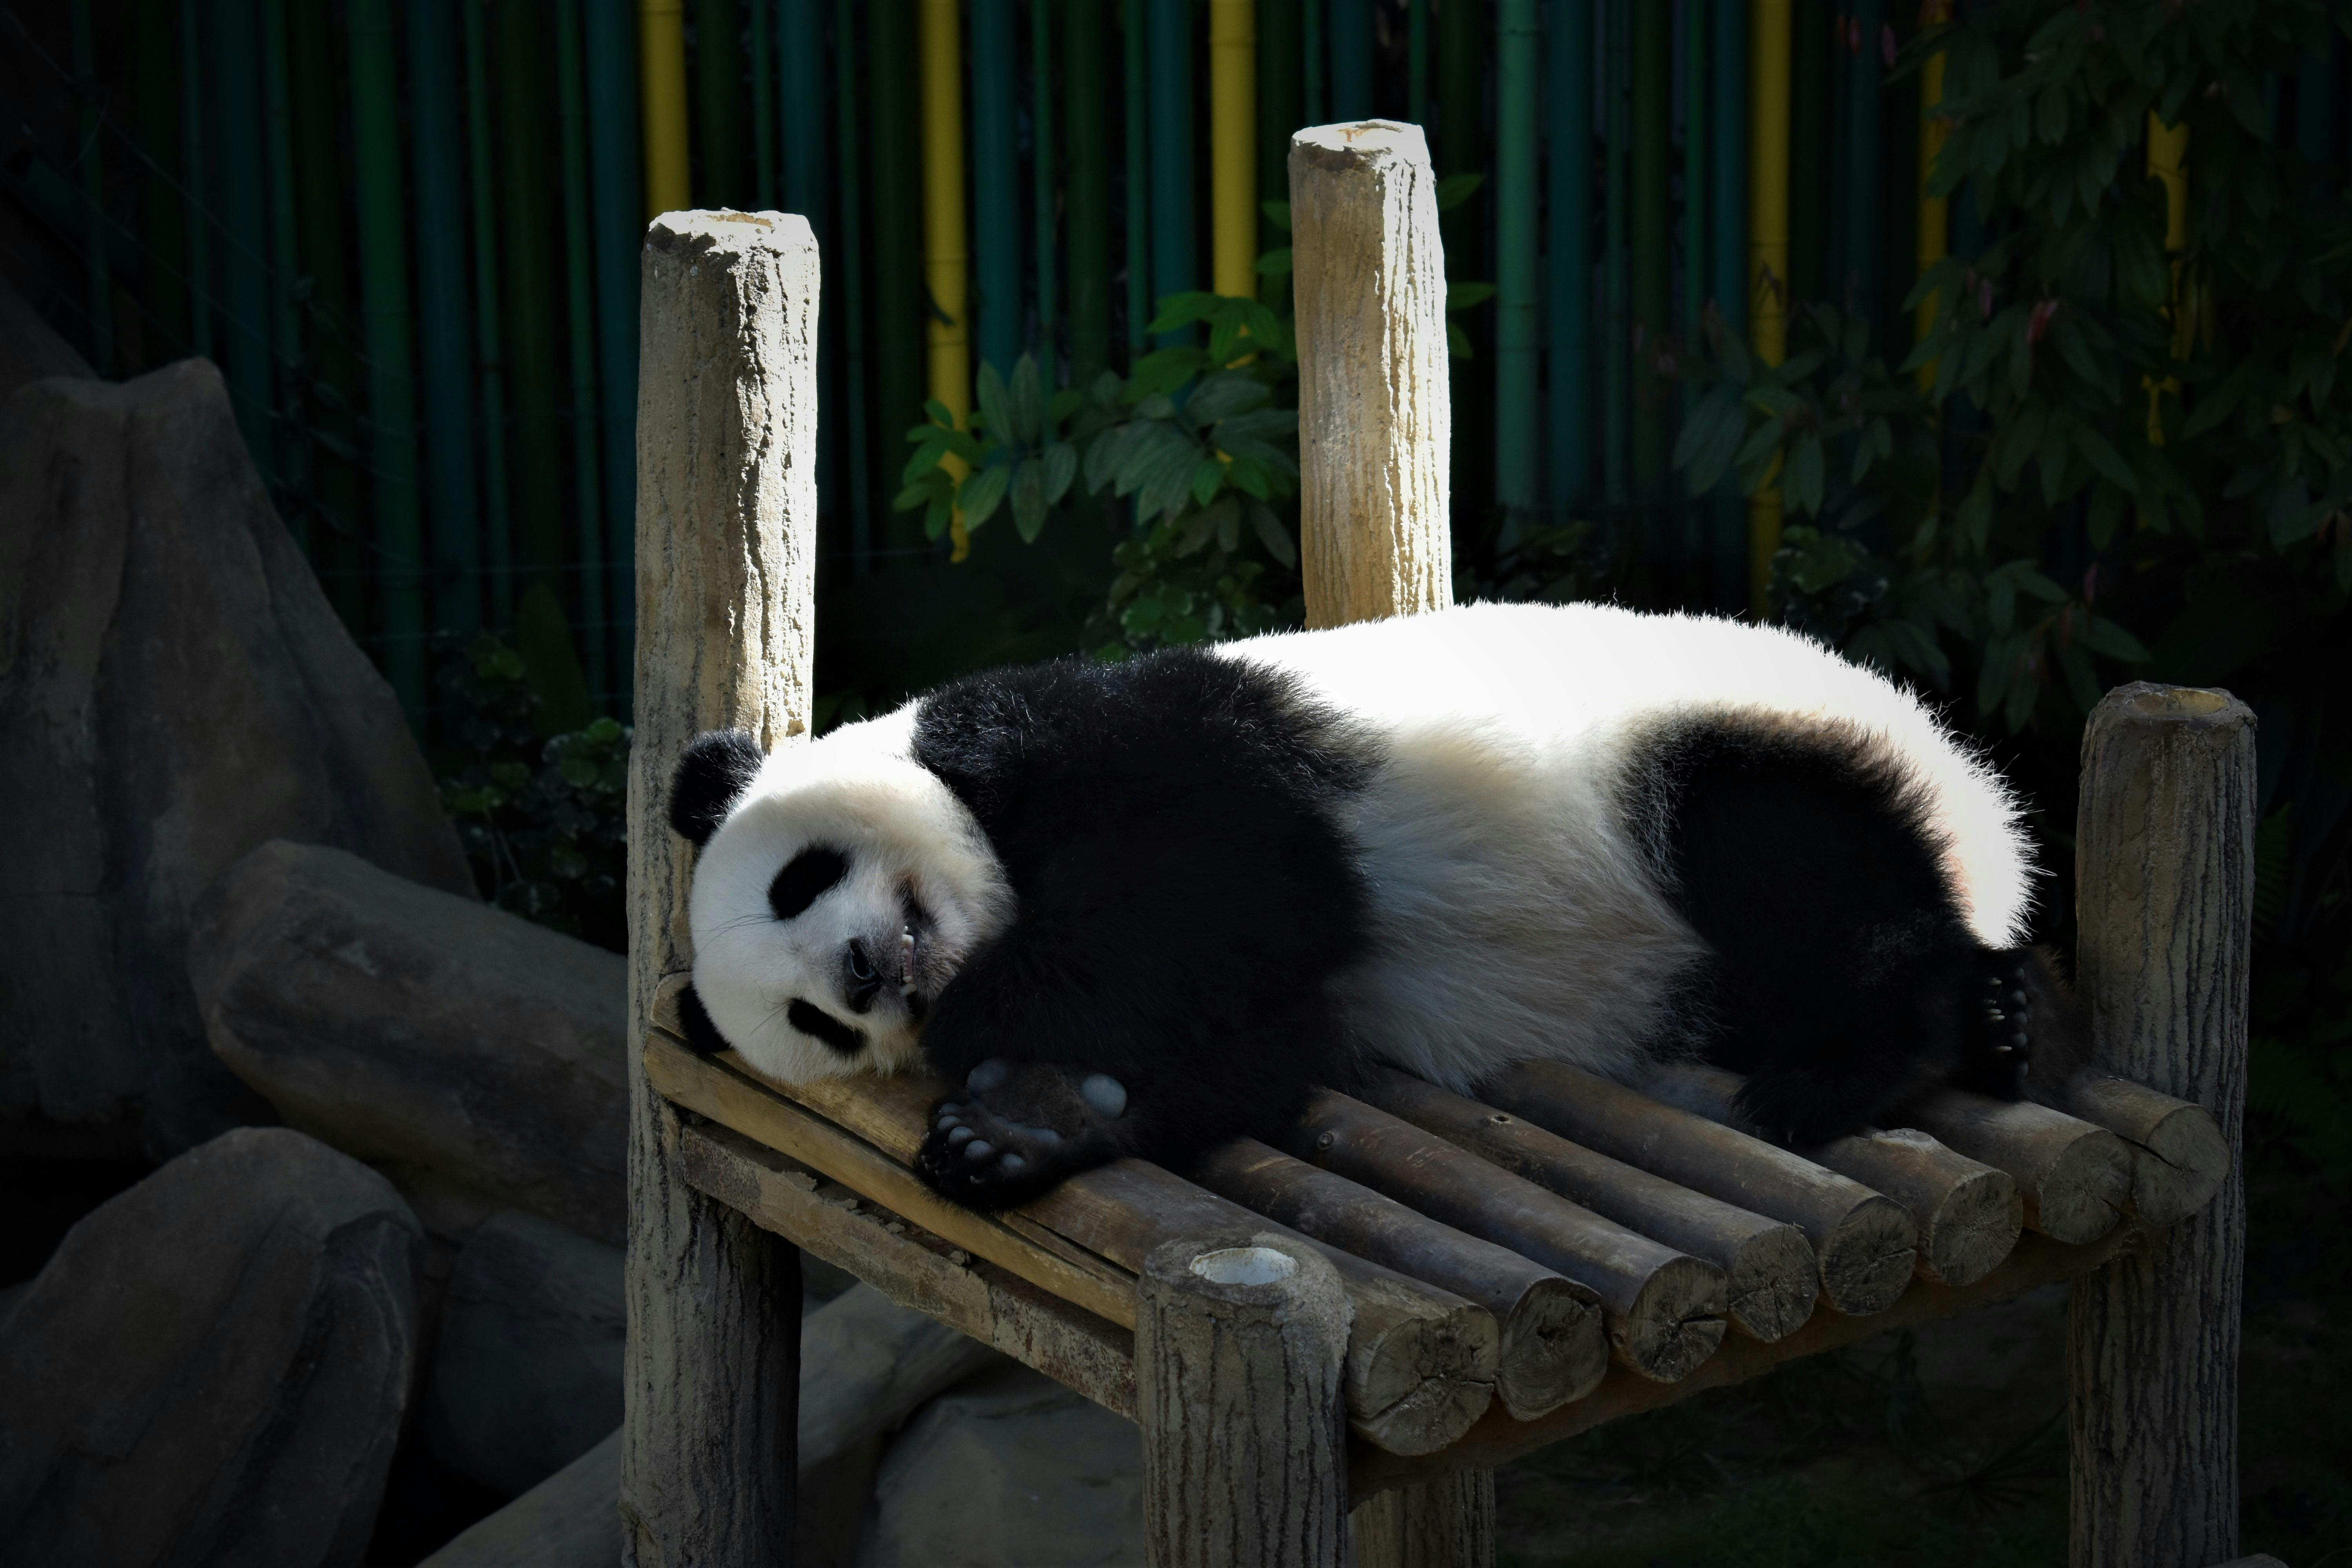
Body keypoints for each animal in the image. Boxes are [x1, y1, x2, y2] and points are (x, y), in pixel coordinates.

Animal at [668, 599, 2082, 1213]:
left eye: (802, 879)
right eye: (816, 1027)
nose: (868, 975)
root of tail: (1980, 801)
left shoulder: (1090, 734)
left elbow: (1229, 871)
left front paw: (1006, 1055)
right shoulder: (1292, 1006)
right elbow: (1255, 1044)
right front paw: (1030, 1126)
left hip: (1708, 751)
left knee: (1780, 845)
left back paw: (1875, 1053)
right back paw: (1986, 1024)